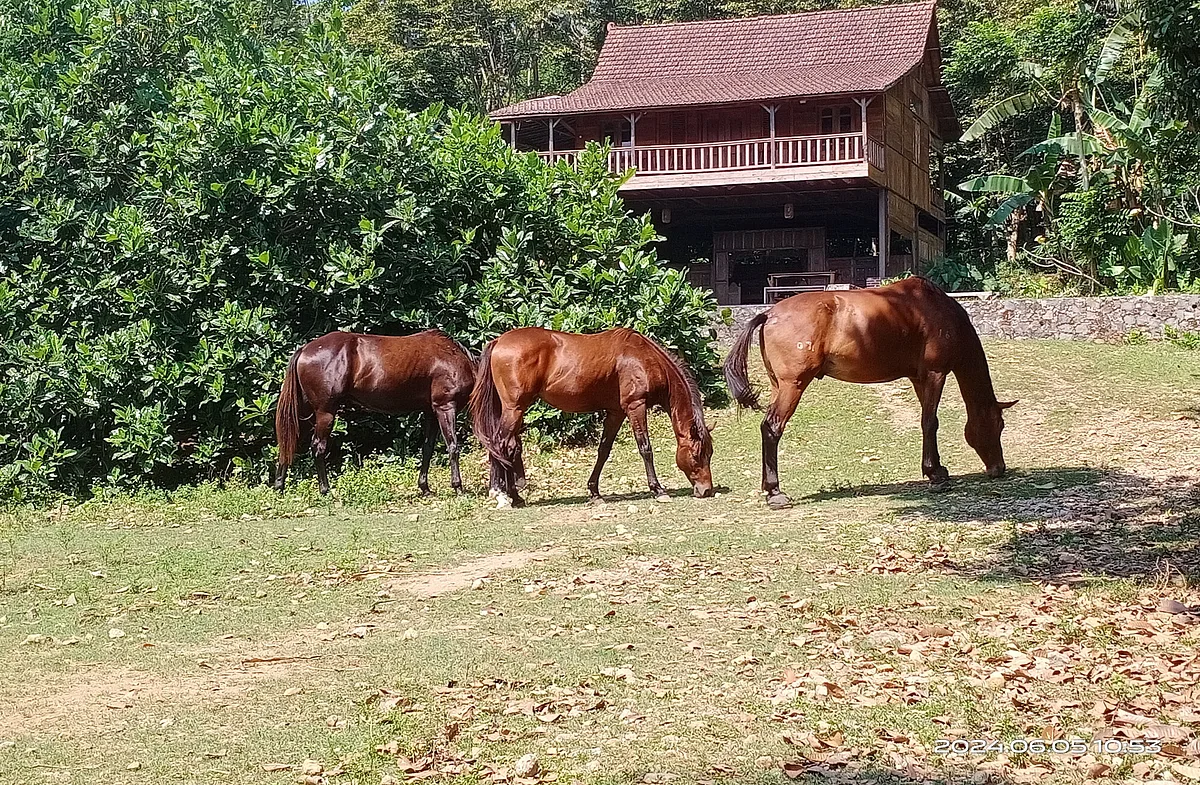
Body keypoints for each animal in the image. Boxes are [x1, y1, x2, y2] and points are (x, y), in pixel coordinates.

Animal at [274, 329, 475, 496]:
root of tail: (304, 349)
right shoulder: (445, 407)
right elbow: (453, 446)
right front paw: (458, 487)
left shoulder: (430, 413)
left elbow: (427, 449)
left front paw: (425, 488)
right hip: (325, 413)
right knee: (318, 447)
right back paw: (325, 490)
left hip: (304, 413)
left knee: (288, 442)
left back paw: (279, 487)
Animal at [470, 327, 714, 508]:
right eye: (697, 455)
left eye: (710, 453)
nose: (706, 490)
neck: (644, 358)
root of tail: (499, 341)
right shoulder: (635, 406)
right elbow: (645, 448)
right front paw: (658, 489)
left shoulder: (616, 412)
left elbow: (603, 451)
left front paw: (594, 492)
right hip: (515, 409)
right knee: (501, 444)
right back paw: (504, 495)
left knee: (508, 446)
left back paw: (514, 496)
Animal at [723, 277, 1016, 509]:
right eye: (998, 425)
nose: (999, 468)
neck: (937, 309)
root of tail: (769, 314)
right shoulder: (935, 374)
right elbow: (930, 422)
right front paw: (935, 475)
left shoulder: (919, 379)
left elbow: (925, 421)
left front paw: (936, 470)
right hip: (791, 386)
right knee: (772, 427)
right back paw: (775, 492)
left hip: (779, 386)